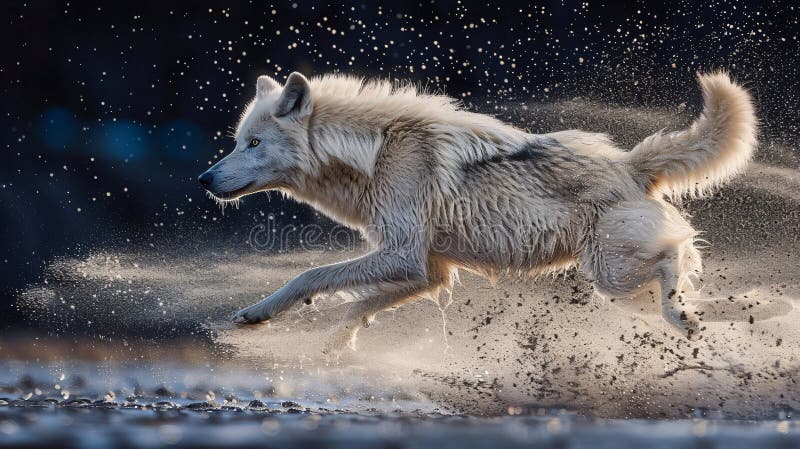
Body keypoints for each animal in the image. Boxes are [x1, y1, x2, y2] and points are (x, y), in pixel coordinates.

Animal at [198, 71, 756, 349]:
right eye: (237, 141)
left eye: (253, 143)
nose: (204, 180)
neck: (374, 150)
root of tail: (630, 161)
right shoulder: (428, 270)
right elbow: (357, 305)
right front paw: (335, 345)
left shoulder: (403, 255)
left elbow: (309, 275)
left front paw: (259, 313)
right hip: (617, 286)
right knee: (686, 276)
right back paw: (740, 313)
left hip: (610, 273)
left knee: (677, 254)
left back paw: (694, 314)